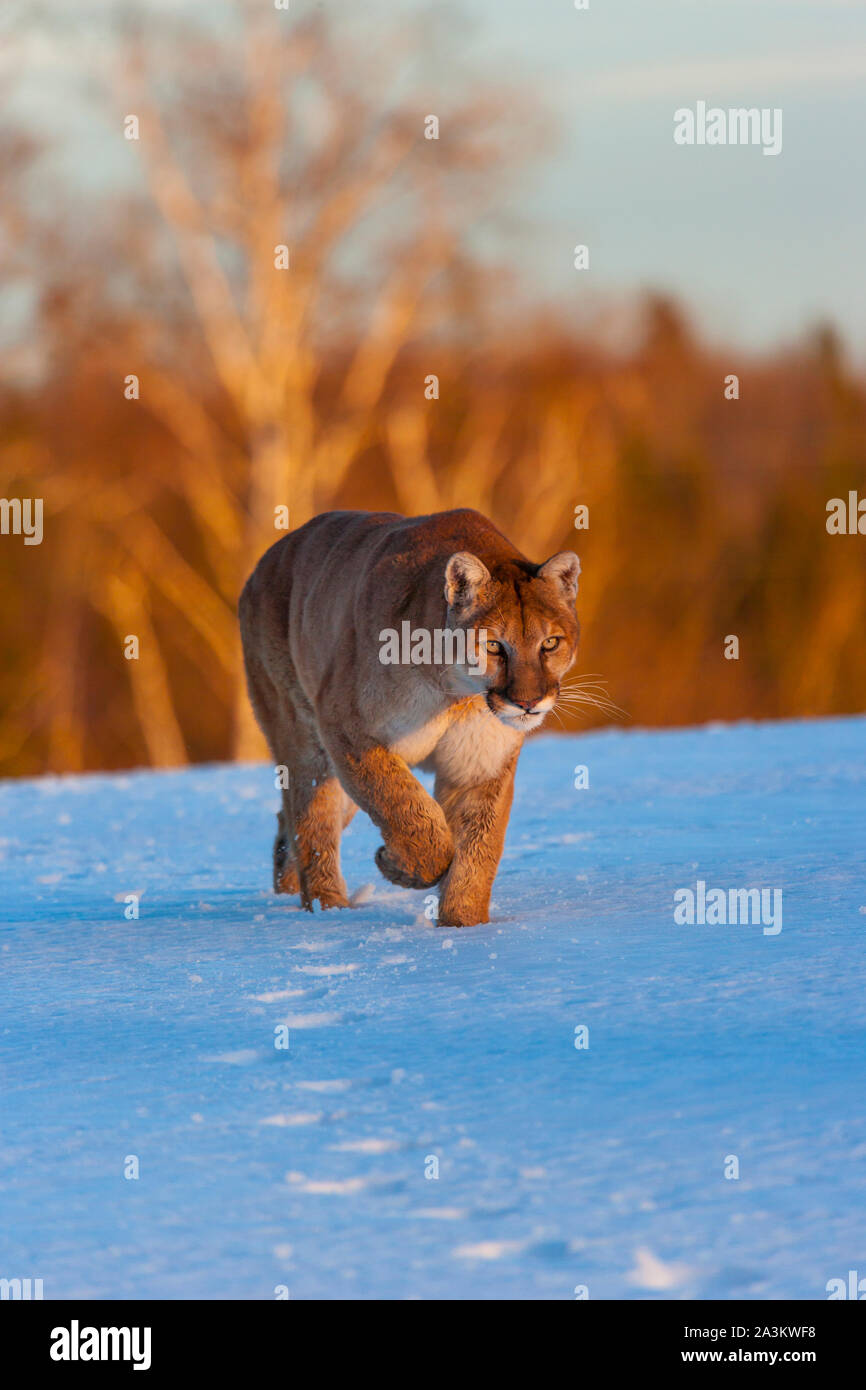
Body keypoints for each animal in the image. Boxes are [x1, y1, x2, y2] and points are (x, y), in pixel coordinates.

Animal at [239, 508, 580, 927]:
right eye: (494, 646)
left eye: (550, 643)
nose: (528, 702)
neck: (455, 693)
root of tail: (268, 558)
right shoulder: (345, 727)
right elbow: (404, 807)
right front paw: (403, 866)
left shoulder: (479, 764)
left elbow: (478, 849)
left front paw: (464, 924)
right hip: (304, 737)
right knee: (312, 820)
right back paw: (327, 909)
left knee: (289, 818)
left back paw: (289, 889)